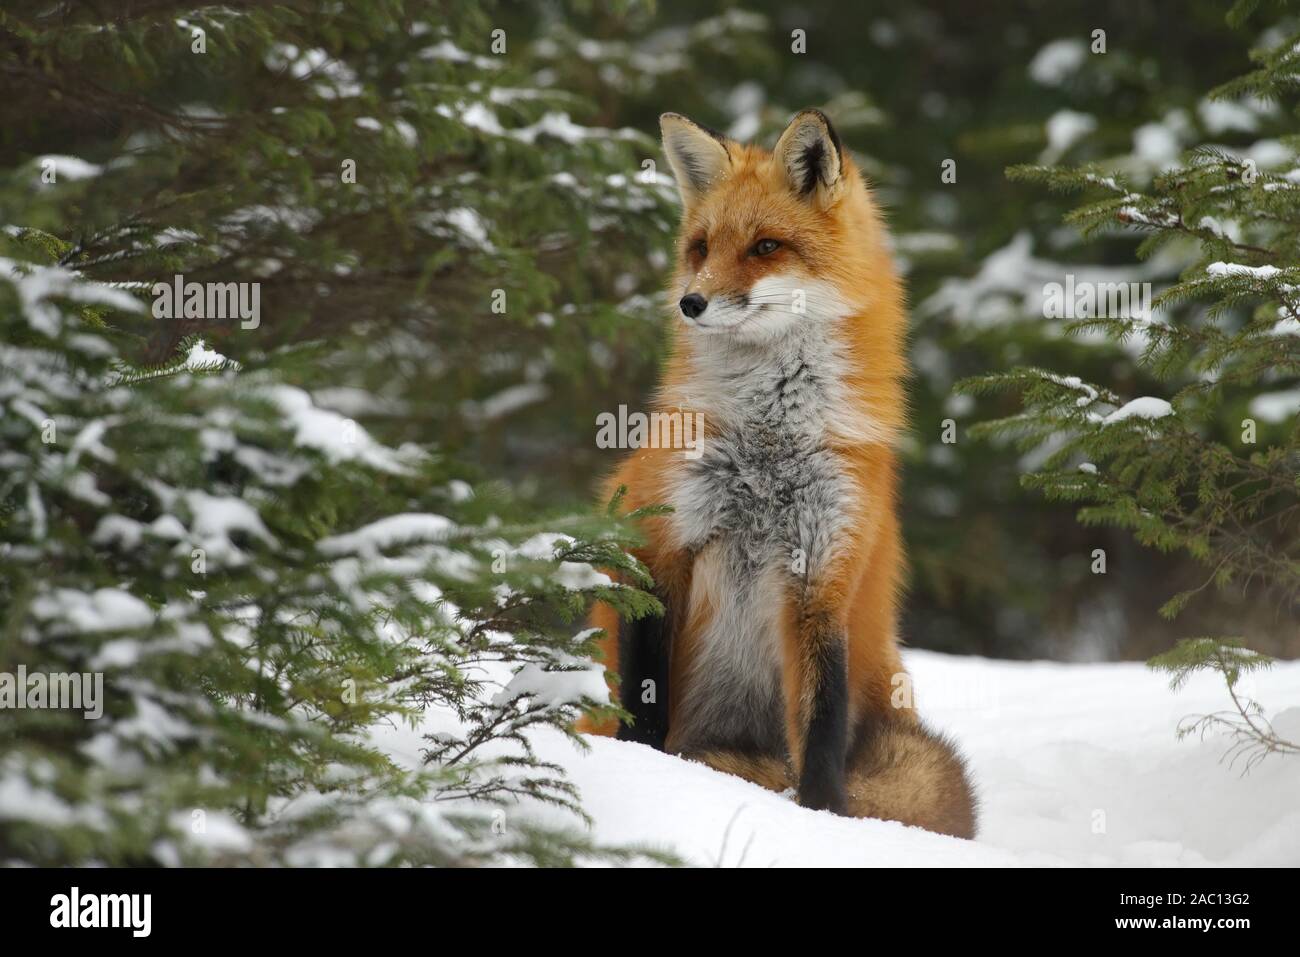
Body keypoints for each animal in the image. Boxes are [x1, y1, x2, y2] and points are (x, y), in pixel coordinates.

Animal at [577, 109, 977, 839]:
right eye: (701, 247)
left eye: (765, 246)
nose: (691, 303)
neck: (768, 446)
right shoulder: (658, 548)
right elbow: (644, 706)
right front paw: (649, 775)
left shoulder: (823, 581)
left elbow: (820, 733)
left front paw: (823, 819)